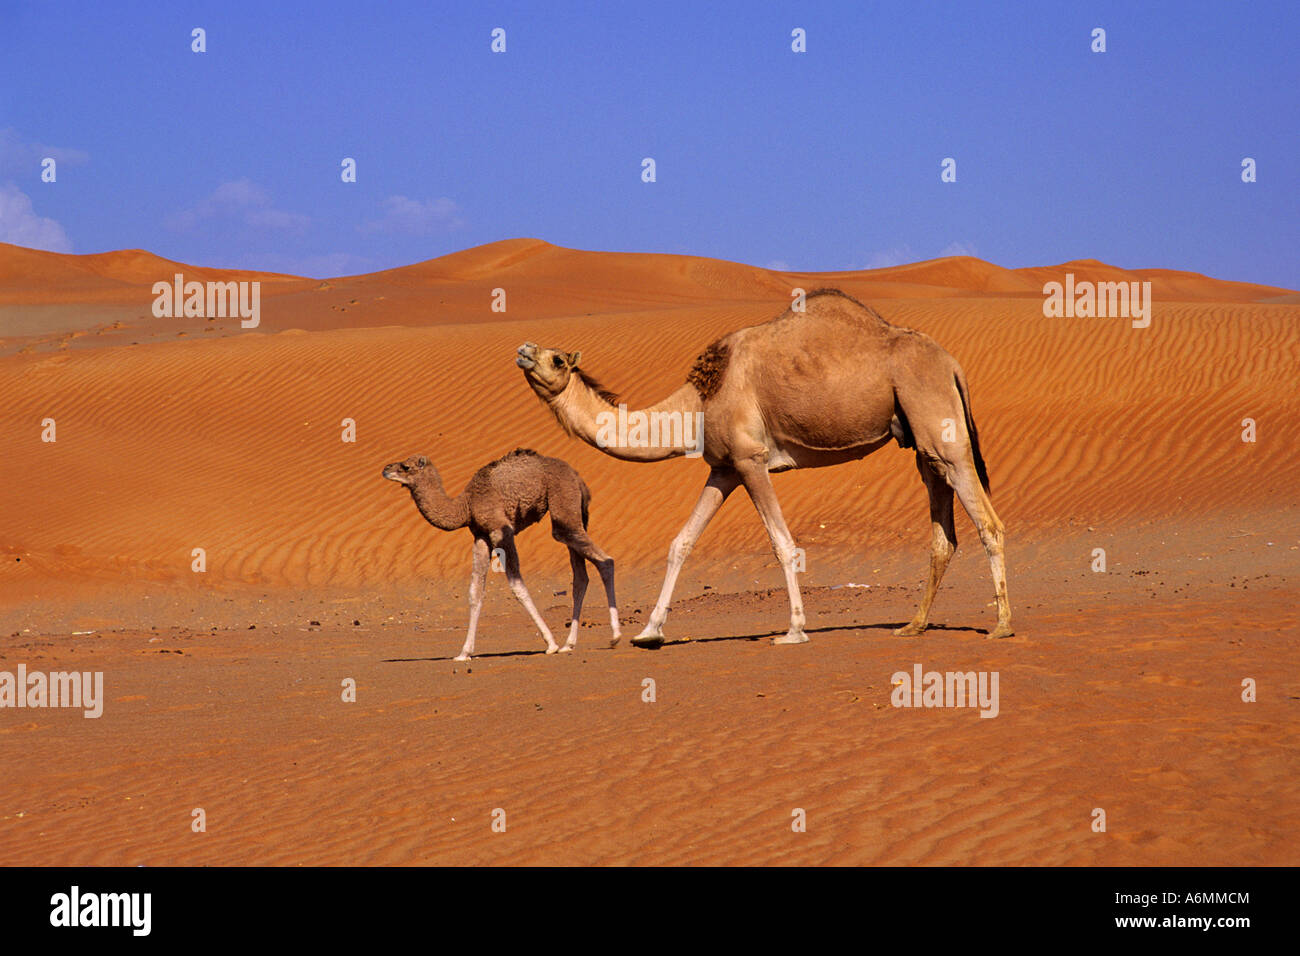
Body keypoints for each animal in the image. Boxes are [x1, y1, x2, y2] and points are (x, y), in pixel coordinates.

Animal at [382, 449, 621, 660]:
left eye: (406, 466)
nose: (386, 469)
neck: (466, 506)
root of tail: (578, 478)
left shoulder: (501, 530)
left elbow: (517, 586)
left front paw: (550, 644)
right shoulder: (480, 537)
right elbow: (475, 592)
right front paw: (464, 653)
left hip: (563, 508)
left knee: (604, 560)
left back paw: (614, 637)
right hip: (570, 517)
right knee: (581, 576)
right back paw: (569, 644)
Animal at [516, 288, 1011, 647]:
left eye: (556, 358)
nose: (523, 349)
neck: (698, 402)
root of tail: (951, 363)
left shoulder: (750, 460)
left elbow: (782, 544)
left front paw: (793, 630)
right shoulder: (723, 469)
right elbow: (681, 543)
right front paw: (649, 632)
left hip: (939, 426)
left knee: (988, 521)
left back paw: (1002, 624)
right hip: (919, 440)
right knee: (943, 533)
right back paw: (914, 624)